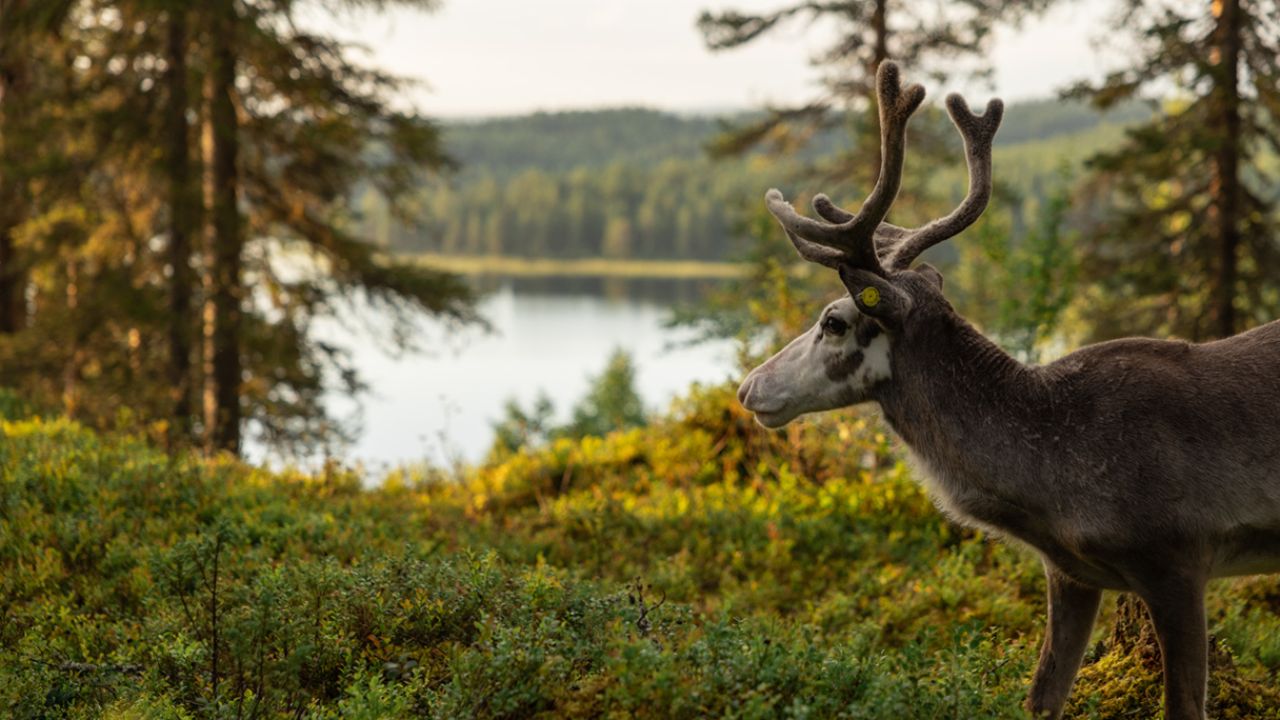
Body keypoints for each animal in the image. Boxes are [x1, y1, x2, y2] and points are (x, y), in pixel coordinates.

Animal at [736, 60, 1280, 720]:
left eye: (834, 321)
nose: (749, 387)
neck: (1052, 480)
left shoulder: (1178, 558)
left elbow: (1184, 705)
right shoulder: (1072, 573)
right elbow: (1042, 695)